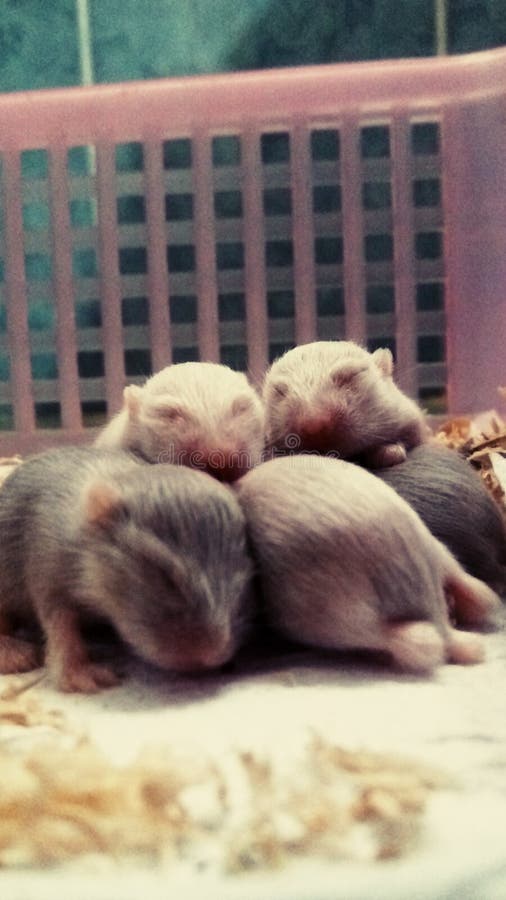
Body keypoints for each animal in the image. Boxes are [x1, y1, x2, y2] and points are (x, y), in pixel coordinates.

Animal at [0, 447, 253, 692]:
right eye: (163, 574)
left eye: (243, 585)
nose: (212, 655)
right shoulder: (47, 569)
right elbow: (61, 627)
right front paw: (78, 673)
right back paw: (10, 651)